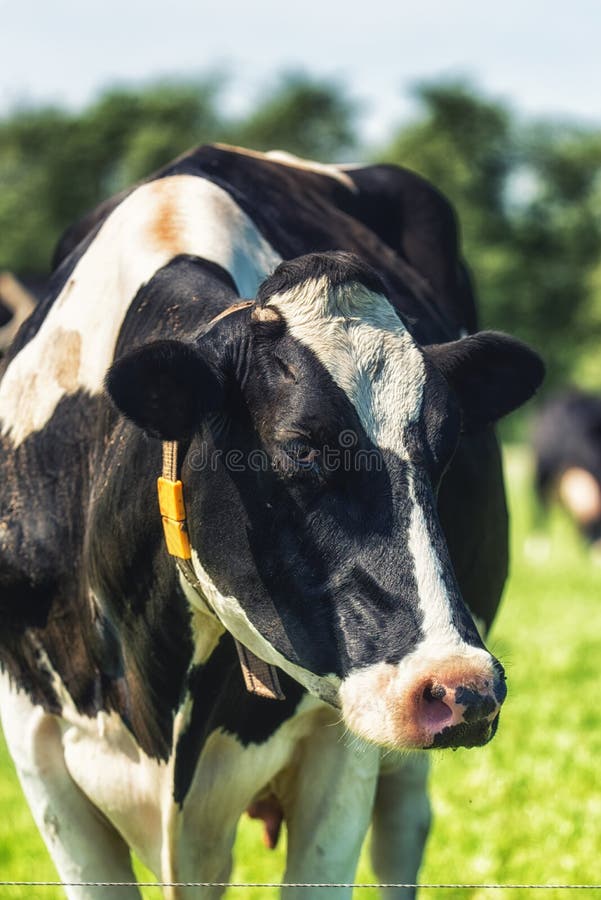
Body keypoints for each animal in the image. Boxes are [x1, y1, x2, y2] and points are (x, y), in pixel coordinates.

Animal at [0, 144, 544, 900]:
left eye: (444, 450)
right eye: (300, 447)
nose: (460, 687)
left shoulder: (337, 750)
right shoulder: (37, 743)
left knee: (402, 836)